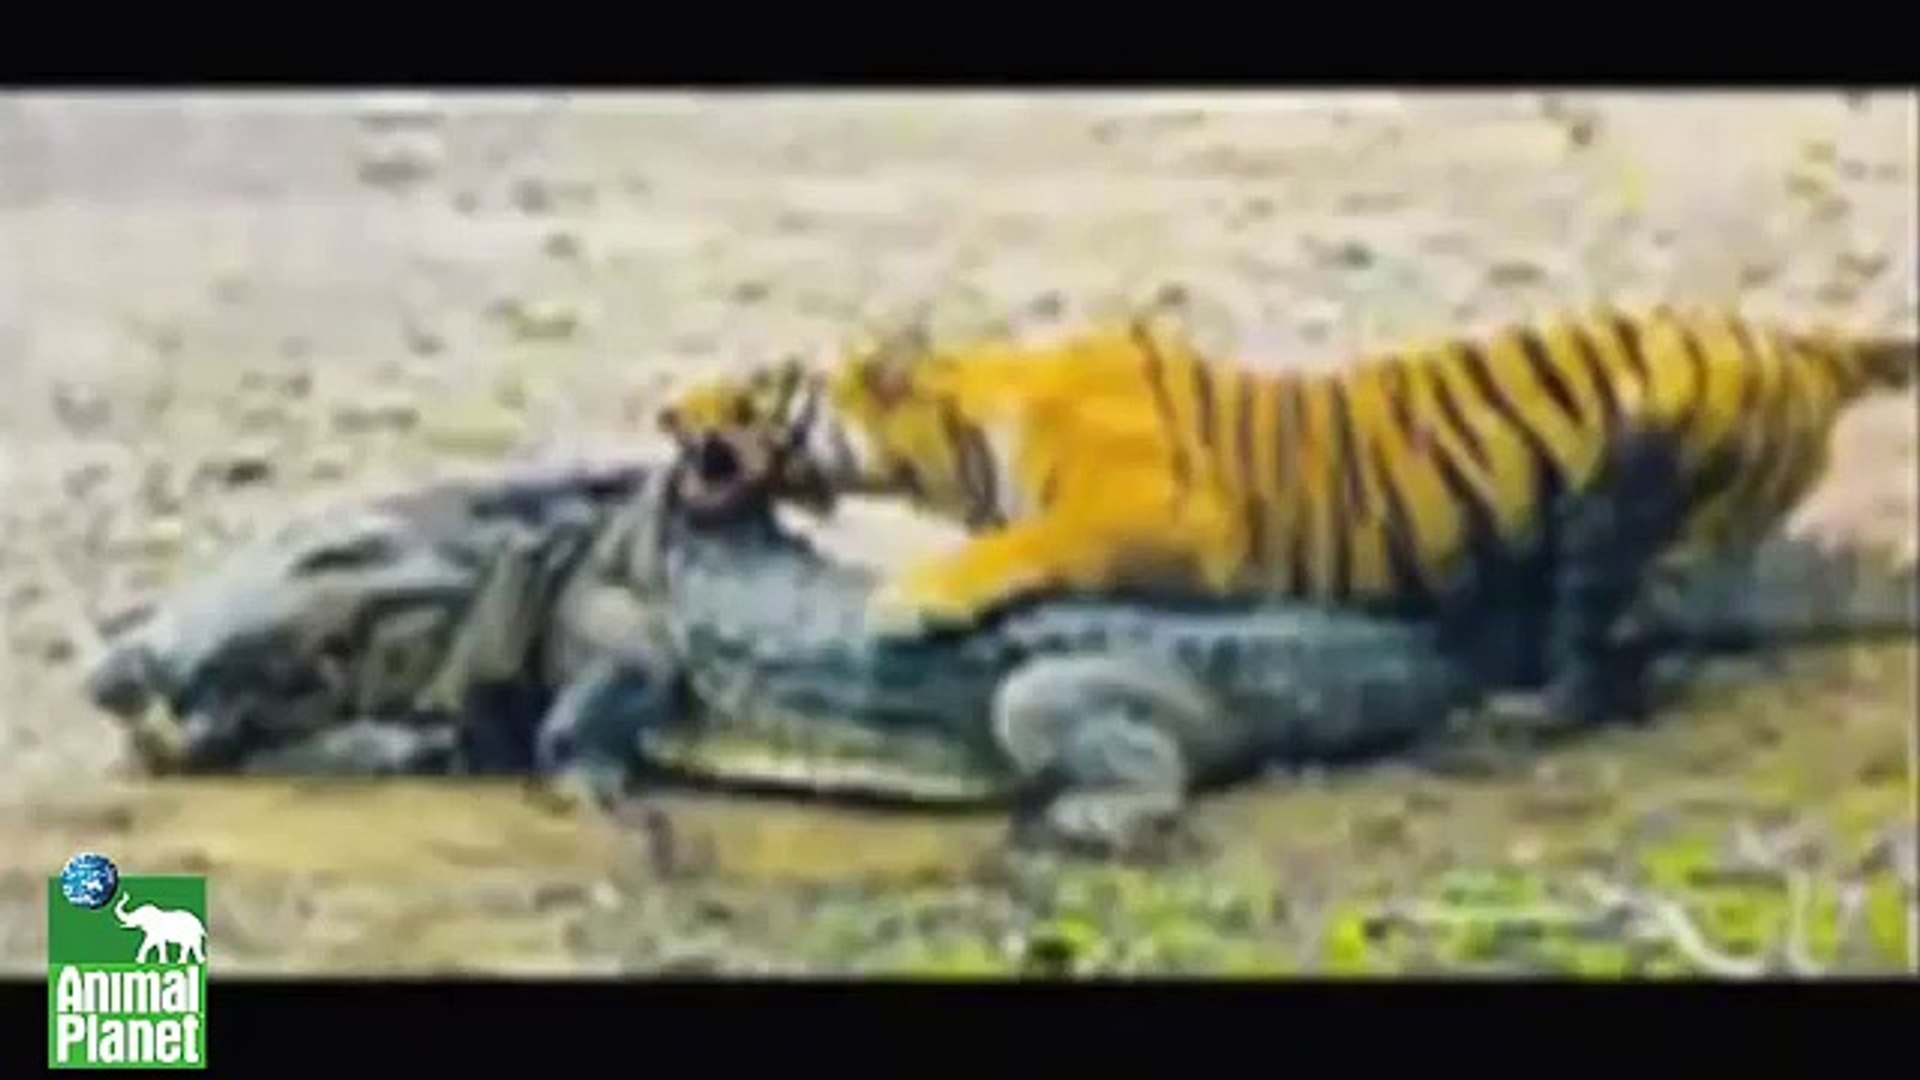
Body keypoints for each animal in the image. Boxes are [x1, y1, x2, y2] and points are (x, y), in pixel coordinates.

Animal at [656, 303, 1918, 710]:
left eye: (758, 386)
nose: (665, 408)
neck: (961, 442)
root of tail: (1806, 340)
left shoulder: (1167, 517)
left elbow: (1032, 537)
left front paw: (912, 598)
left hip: (1649, 463)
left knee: (1632, 626)